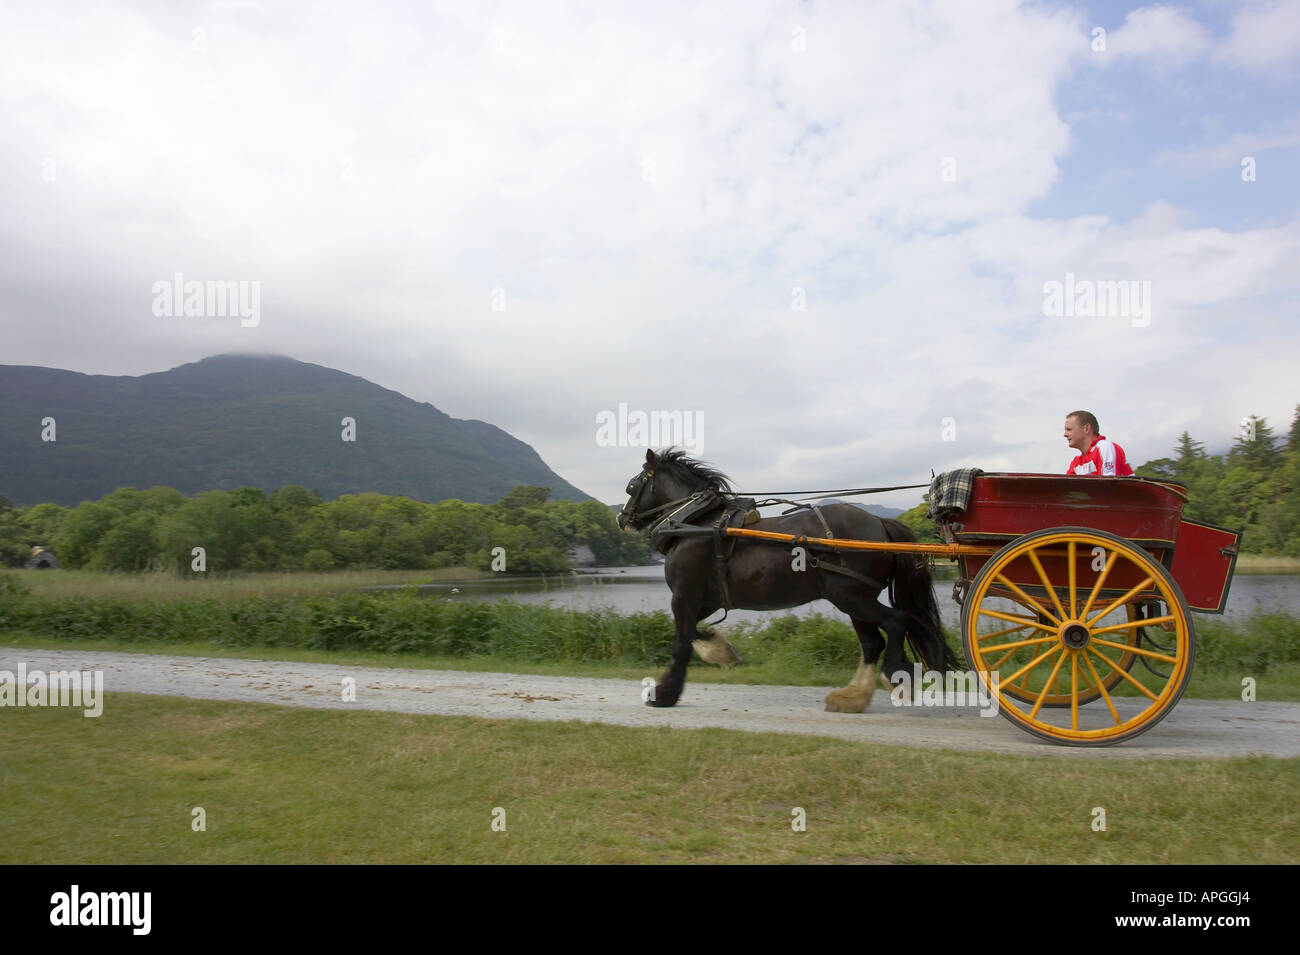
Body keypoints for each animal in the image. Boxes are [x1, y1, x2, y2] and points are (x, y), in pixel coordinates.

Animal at [617, 448, 960, 710]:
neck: (696, 523)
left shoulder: (684, 595)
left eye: (632, 486)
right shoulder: (706, 600)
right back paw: (852, 697)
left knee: (895, 622)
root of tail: (879, 523)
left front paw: (664, 694)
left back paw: (896, 677)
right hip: (853, 598)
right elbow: (695, 633)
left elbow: (681, 641)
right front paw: (722, 652)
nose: (622, 519)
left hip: (851, 596)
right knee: (873, 641)